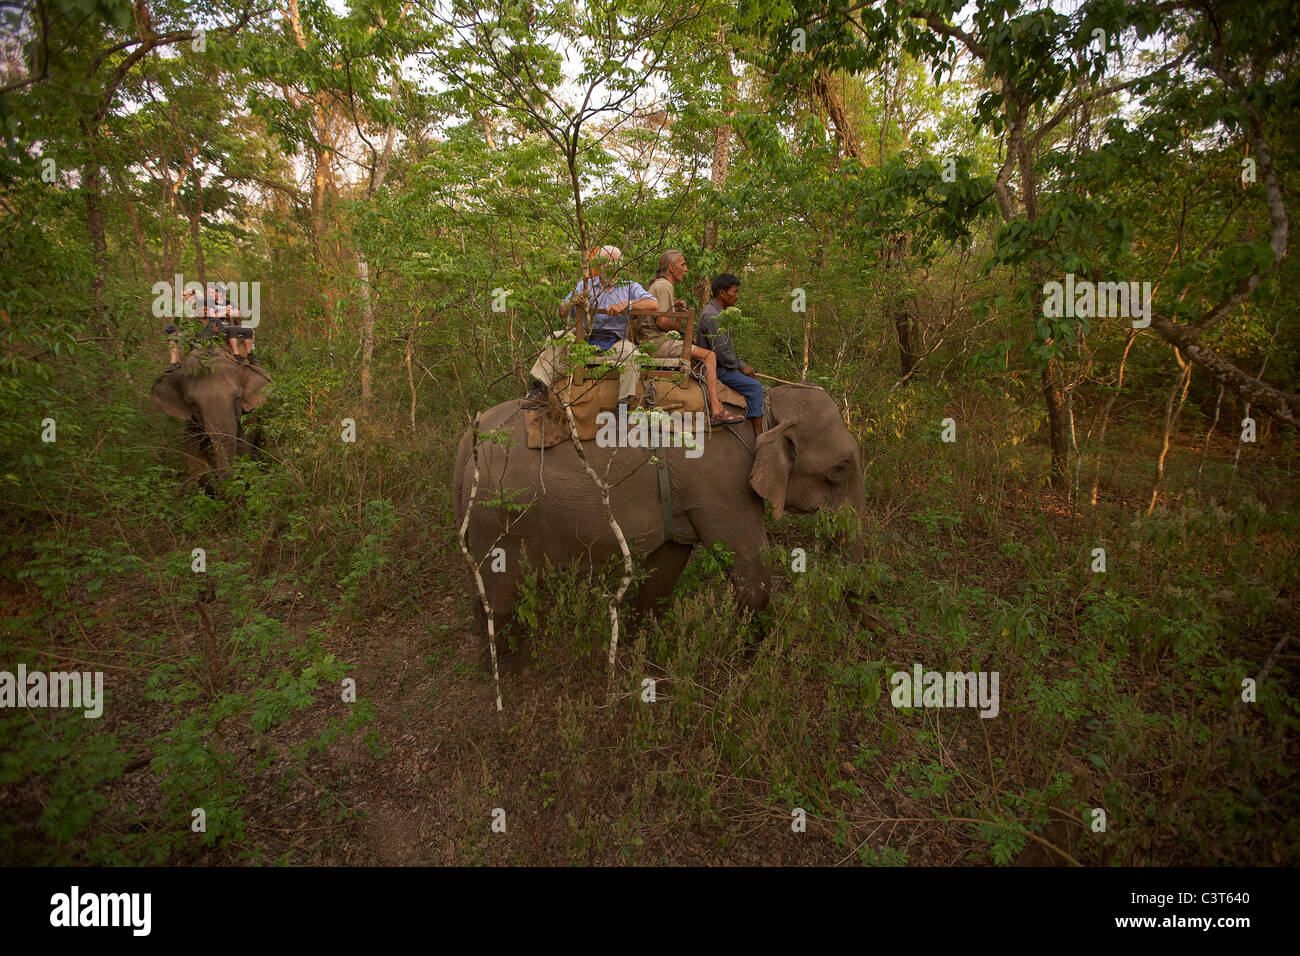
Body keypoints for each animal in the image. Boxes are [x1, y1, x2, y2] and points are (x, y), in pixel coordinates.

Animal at [151, 347, 272, 482]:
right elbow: (194, 459)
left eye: (238, 398)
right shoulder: (191, 424)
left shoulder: (248, 418)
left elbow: (244, 449)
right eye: (192, 403)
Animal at [452, 384, 868, 644]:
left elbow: (668, 562)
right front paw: (749, 657)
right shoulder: (722, 484)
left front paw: (640, 648)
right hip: (500, 517)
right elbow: (753, 575)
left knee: (482, 592)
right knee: (501, 596)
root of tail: (466, 442)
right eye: (840, 468)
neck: (764, 408)